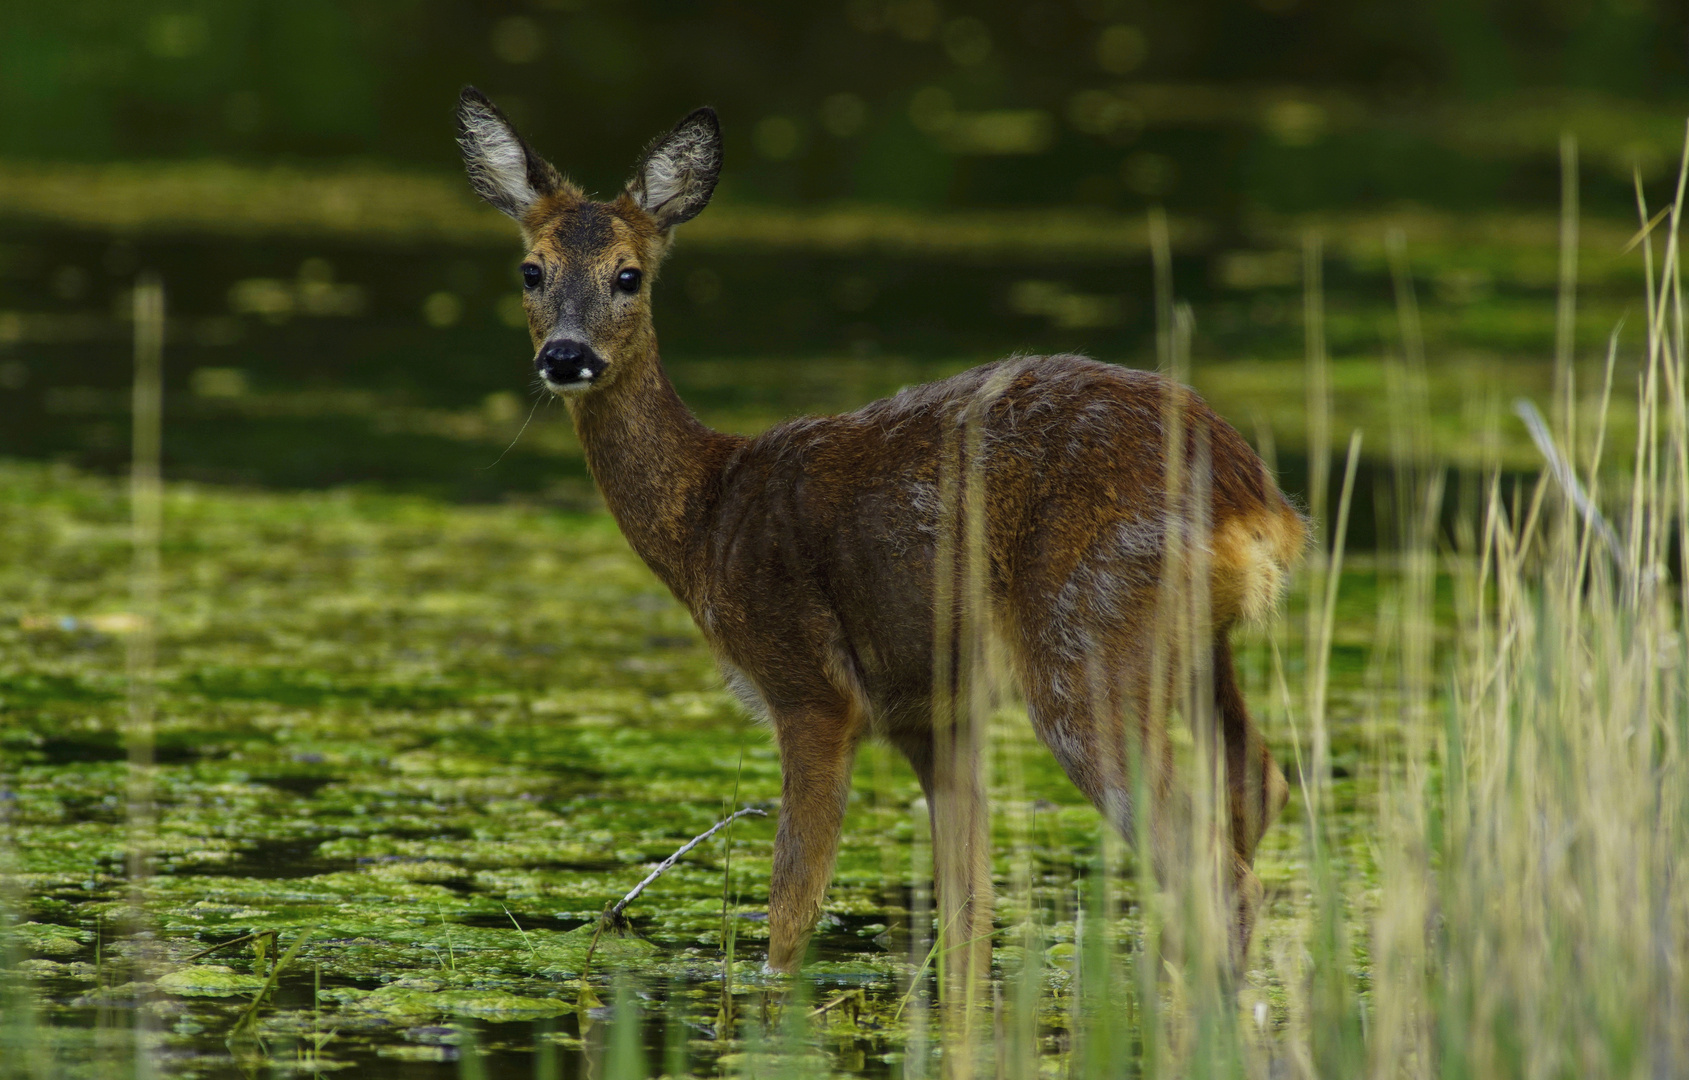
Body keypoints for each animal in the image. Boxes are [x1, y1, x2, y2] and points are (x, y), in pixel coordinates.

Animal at [456, 86, 1310, 980]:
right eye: (530, 270)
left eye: (629, 274)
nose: (565, 357)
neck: (707, 522)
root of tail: (1260, 505)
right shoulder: (931, 715)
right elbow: (967, 911)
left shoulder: (810, 689)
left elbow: (790, 913)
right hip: (1193, 646)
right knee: (1259, 784)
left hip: (1087, 636)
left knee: (1214, 864)